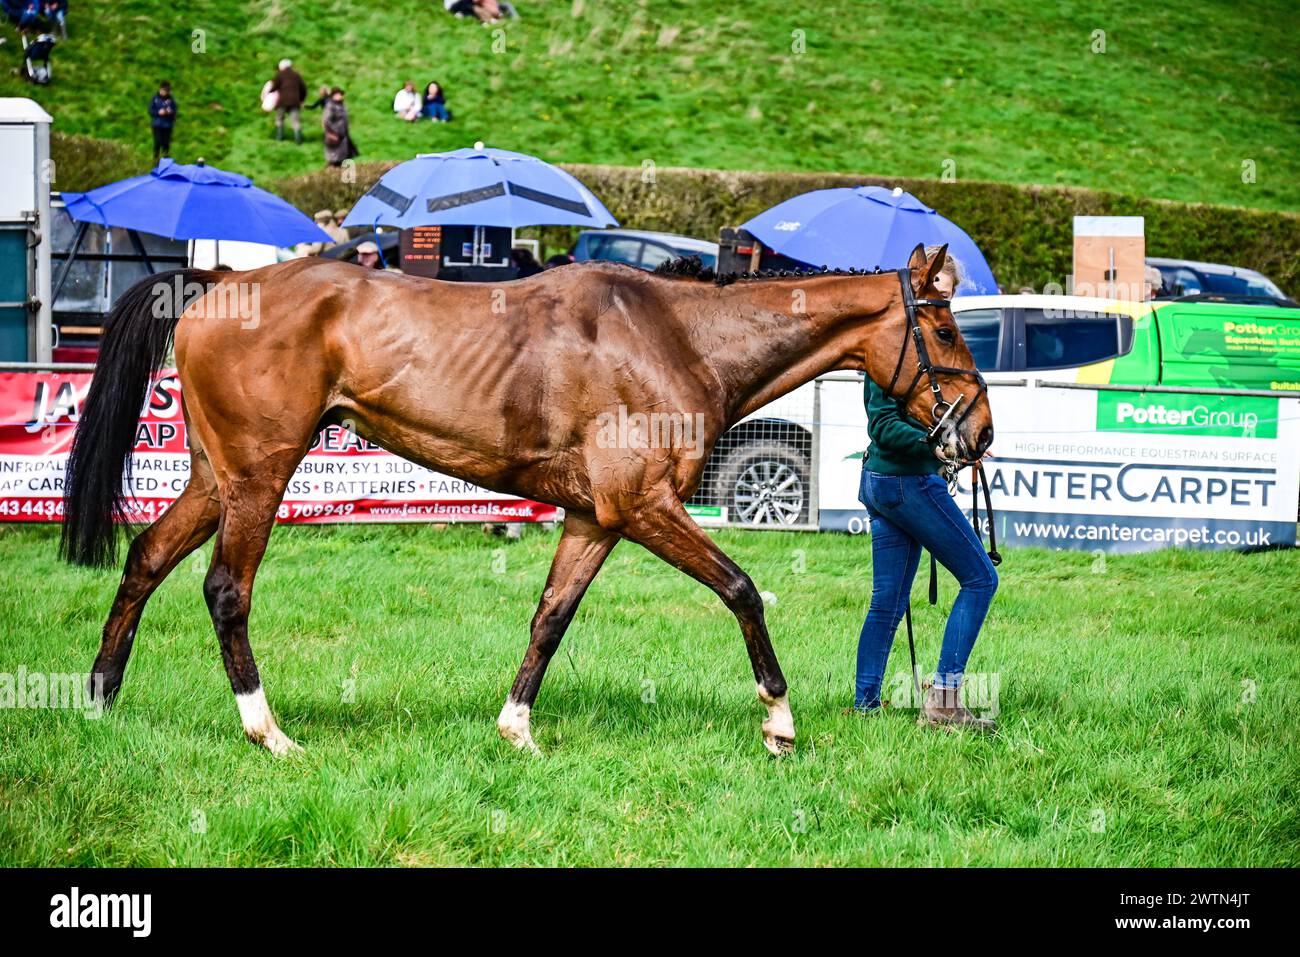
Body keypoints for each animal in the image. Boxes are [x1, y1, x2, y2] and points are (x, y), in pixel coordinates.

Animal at [61, 243, 992, 756]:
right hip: (259, 477)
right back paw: (269, 732)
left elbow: (551, 615)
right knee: (227, 591)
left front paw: (516, 728)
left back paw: (101, 699)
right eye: (945, 329)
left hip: (215, 477)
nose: (978, 432)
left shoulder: (594, 518)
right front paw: (780, 722)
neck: (677, 336)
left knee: (147, 557)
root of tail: (220, 280)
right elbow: (741, 590)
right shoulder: (645, 508)